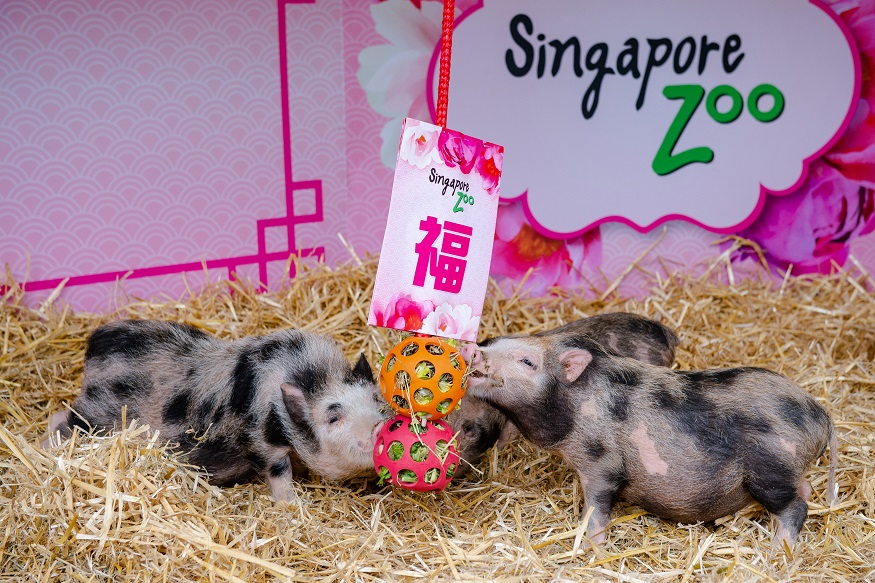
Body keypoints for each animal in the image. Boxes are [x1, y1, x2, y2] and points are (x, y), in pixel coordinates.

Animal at [44, 319, 388, 501]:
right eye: (333, 417)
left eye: (377, 400)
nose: (377, 426)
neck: (314, 377)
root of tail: (95, 344)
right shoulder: (262, 440)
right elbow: (279, 471)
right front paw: (291, 507)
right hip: (96, 416)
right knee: (60, 418)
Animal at [463, 335, 838, 548]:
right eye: (492, 344)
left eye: (527, 361)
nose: (472, 349)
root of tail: (821, 415)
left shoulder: (601, 461)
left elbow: (596, 508)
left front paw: (591, 548)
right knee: (804, 491)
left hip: (770, 469)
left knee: (795, 508)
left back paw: (777, 553)